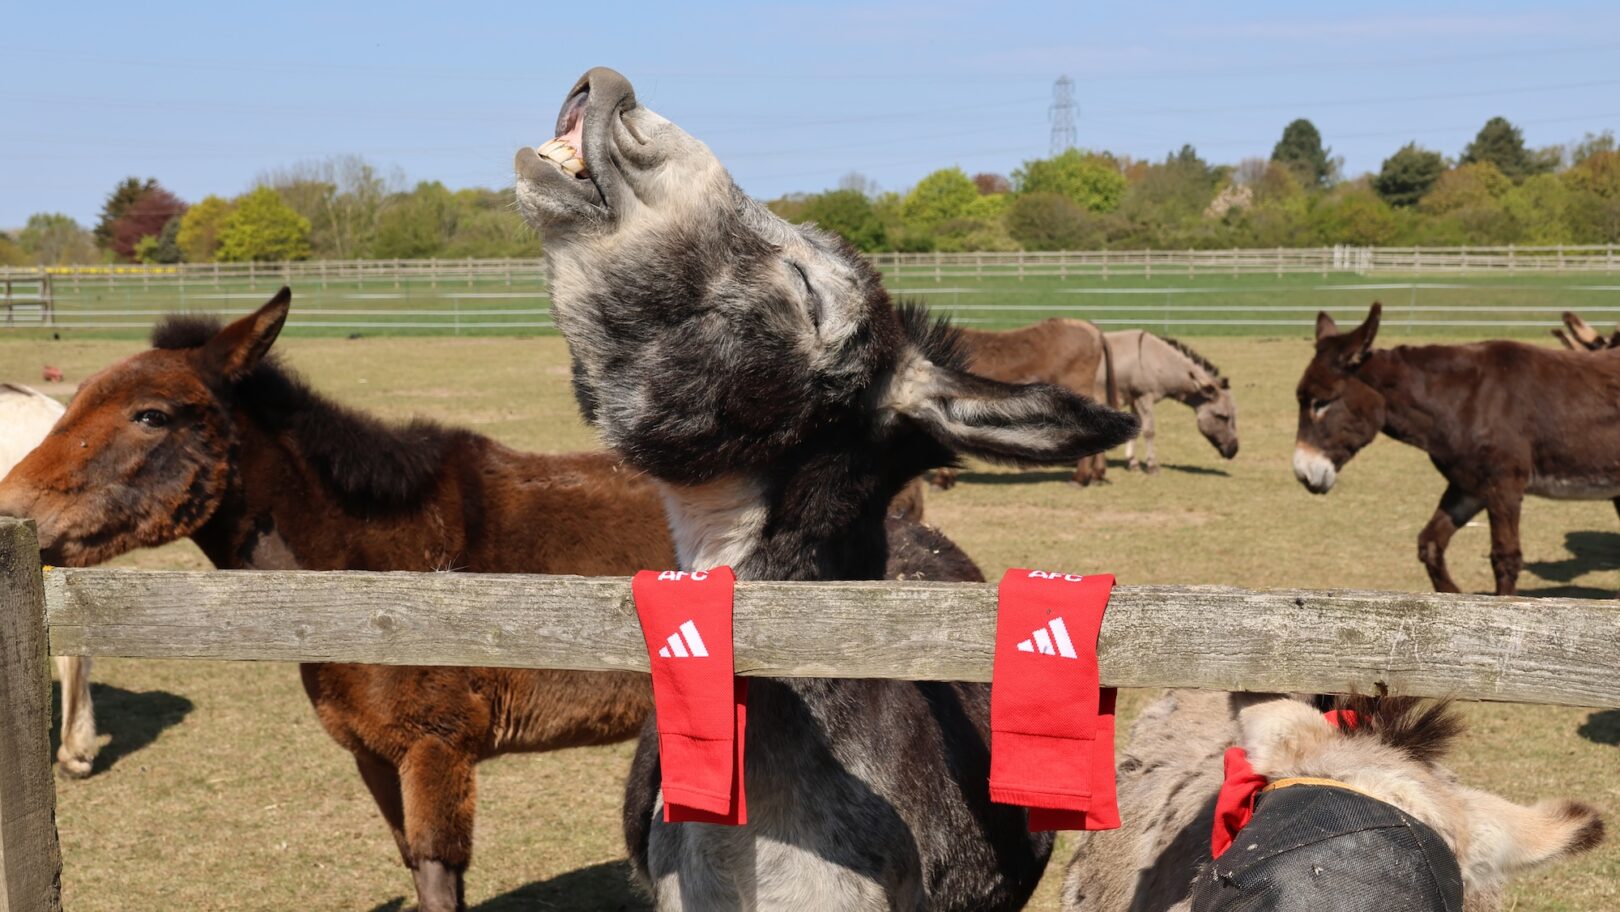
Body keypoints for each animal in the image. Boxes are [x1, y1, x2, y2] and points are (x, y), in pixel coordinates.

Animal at [0, 289, 984, 912]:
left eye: (151, 415)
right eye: (73, 400)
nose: (13, 508)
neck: (368, 566)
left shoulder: (437, 750)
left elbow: (441, 879)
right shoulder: (376, 755)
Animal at [1097, 330, 1238, 473]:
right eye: (1223, 417)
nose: (1234, 451)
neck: (1155, 360)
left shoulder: (1135, 399)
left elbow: (1134, 430)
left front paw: (1133, 463)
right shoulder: (1144, 397)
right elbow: (1149, 431)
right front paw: (1152, 465)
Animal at [1294, 302, 1620, 595]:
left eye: (1321, 402)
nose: (1303, 473)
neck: (1460, 399)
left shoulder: (1505, 486)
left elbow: (1505, 559)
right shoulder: (1469, 486)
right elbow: (1430, 544)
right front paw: (1452, 594)